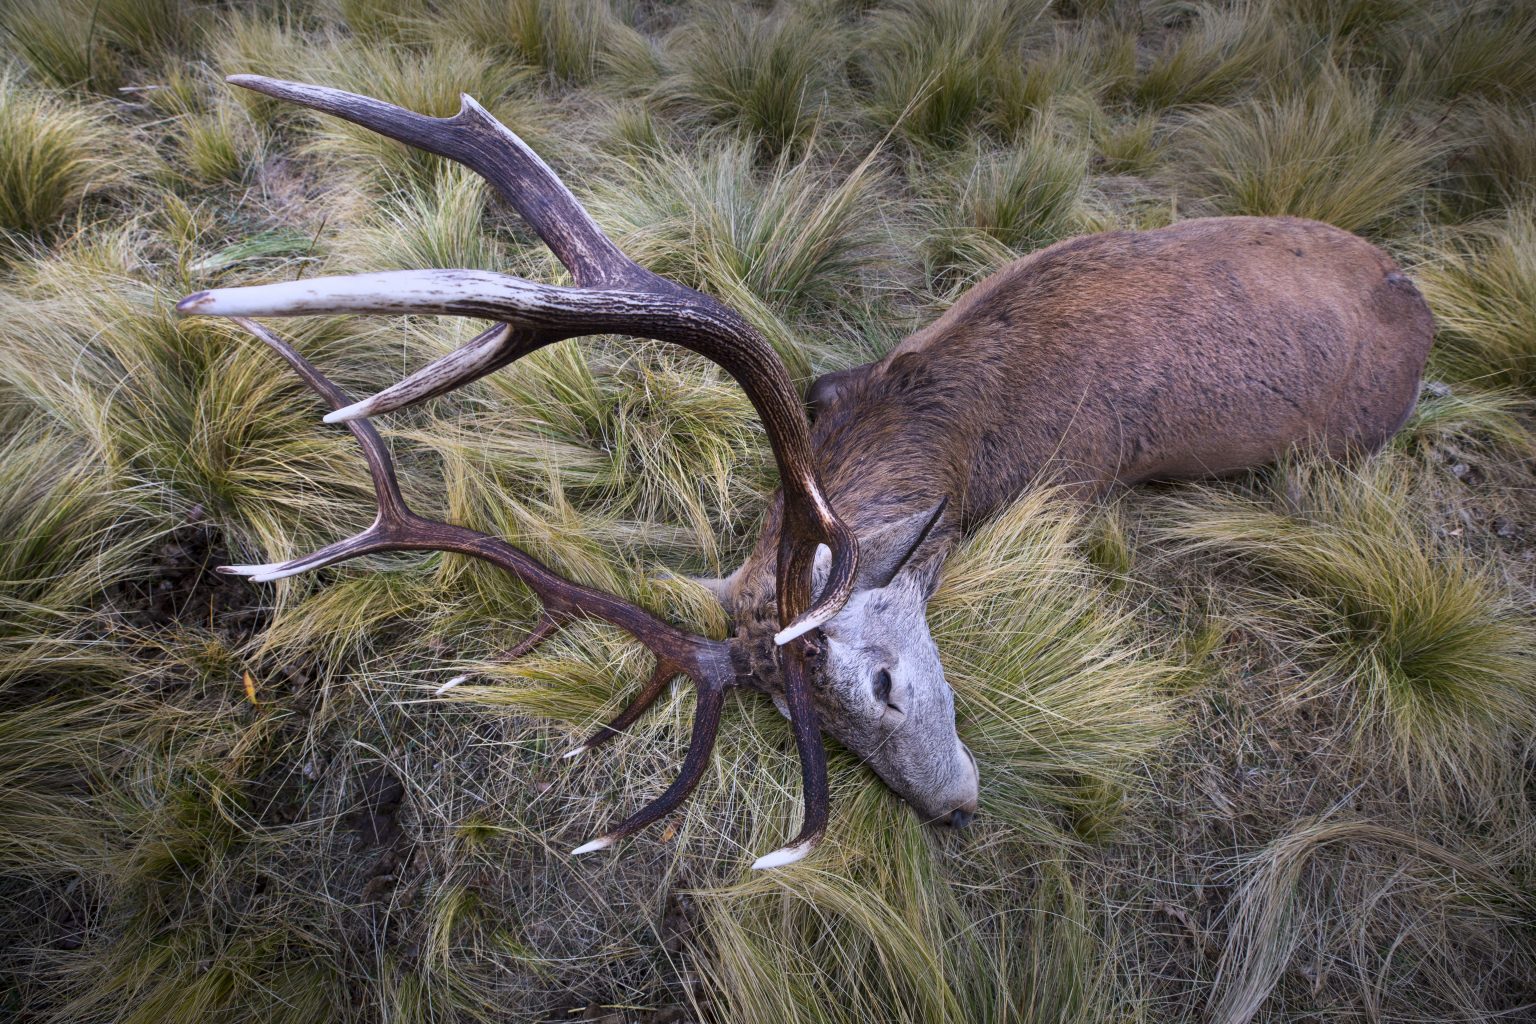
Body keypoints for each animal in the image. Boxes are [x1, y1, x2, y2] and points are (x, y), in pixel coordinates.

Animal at [177, 76, 1435, 870]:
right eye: (797, 724)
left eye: (879, 680)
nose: (955, 809)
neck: (956, 428)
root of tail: (1417, 296)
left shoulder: (1076, 482)